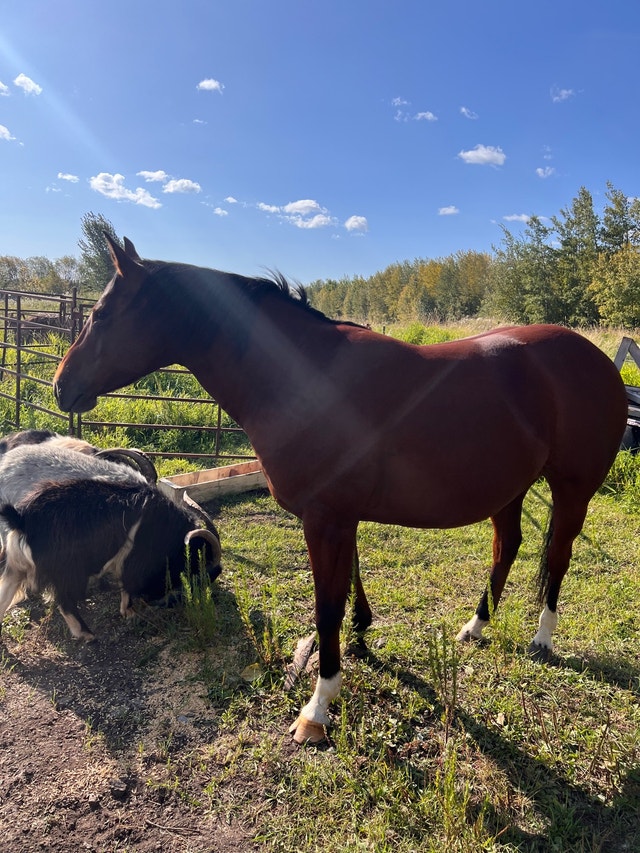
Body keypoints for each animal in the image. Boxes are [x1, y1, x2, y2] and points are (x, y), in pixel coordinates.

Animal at [53, 236, 628, 744]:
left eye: (100, 314)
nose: (61, 386)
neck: (304, 378)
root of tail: (598, 360)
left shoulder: (325, 518)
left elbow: (326, 604)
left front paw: (318, 707)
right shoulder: (340, 516)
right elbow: (350, 579)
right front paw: (361, 632)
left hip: (572, 489)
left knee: (558, 555)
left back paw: (542, 638)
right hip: (507, 489)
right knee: (508, 547)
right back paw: (475, 627)